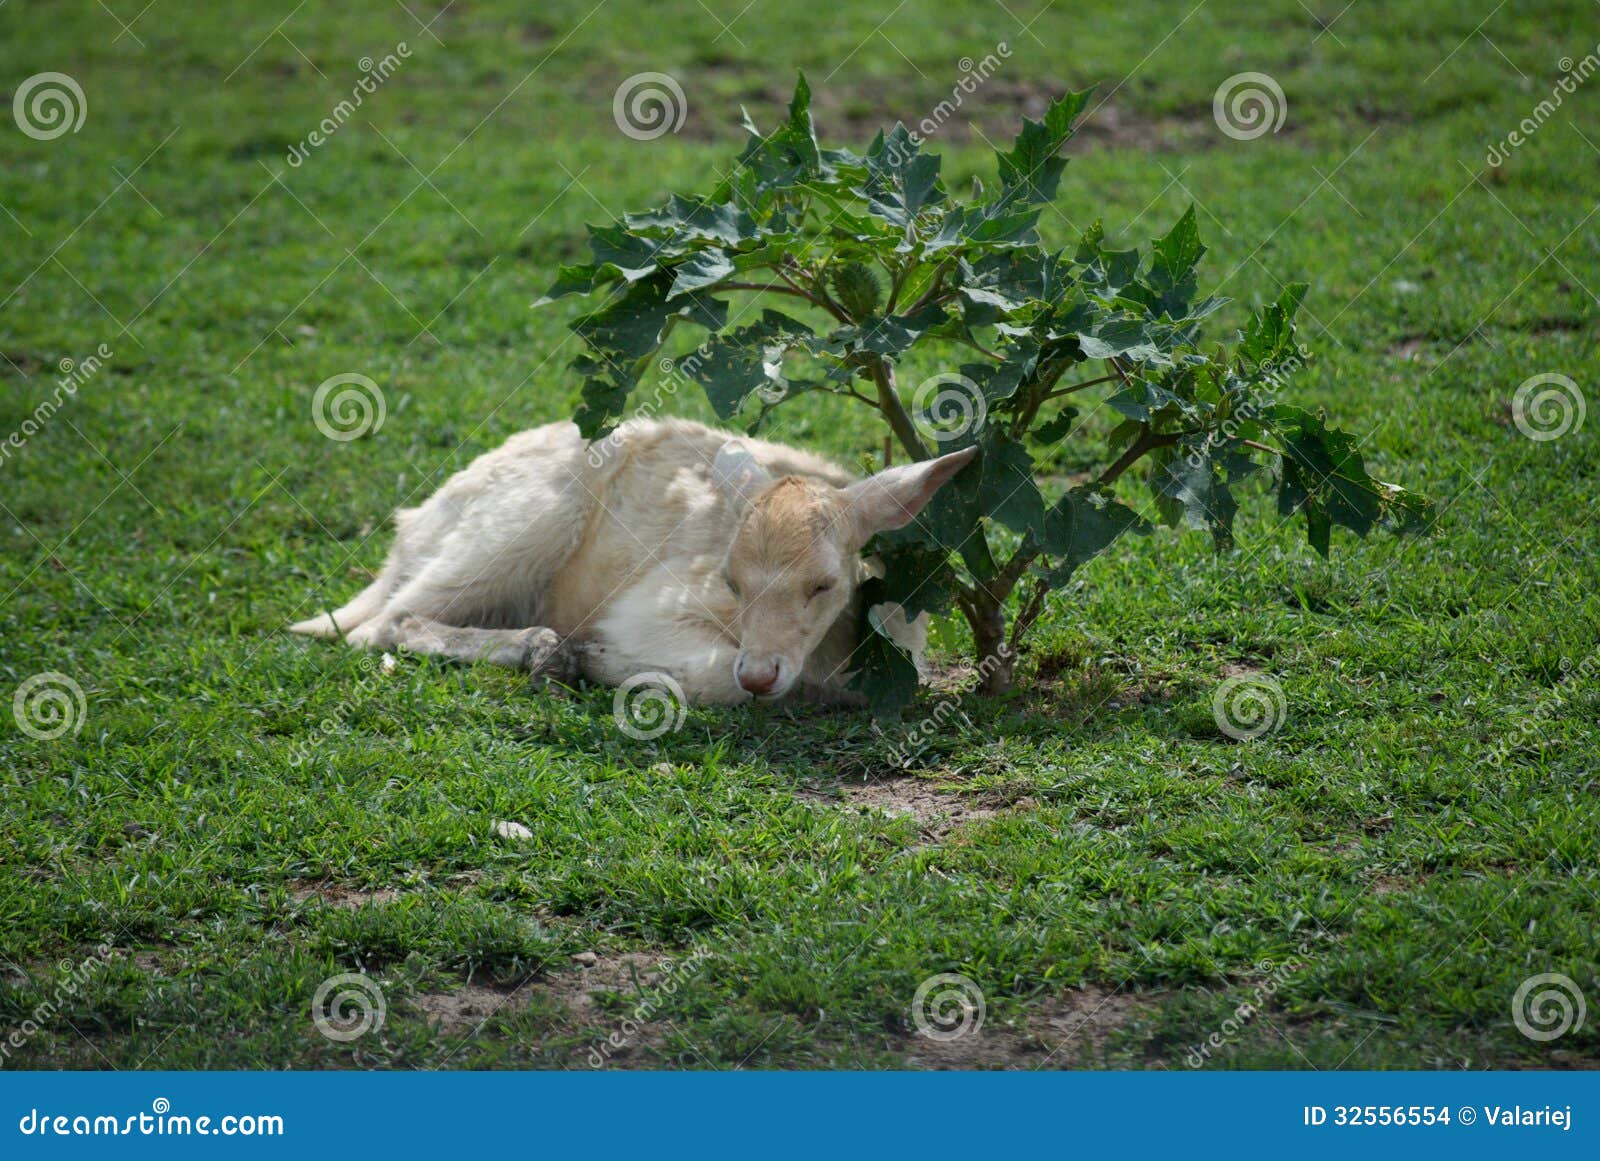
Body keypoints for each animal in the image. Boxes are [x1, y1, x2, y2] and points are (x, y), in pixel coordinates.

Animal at [289, 418, 977, 704]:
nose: (762, 673)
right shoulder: (653, 605)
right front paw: (600, 658)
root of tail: (408, 533)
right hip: (519, 525)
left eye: (824, 585)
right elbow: (713, 675)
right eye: (731, 582)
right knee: (386, 624)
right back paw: (547, 649)